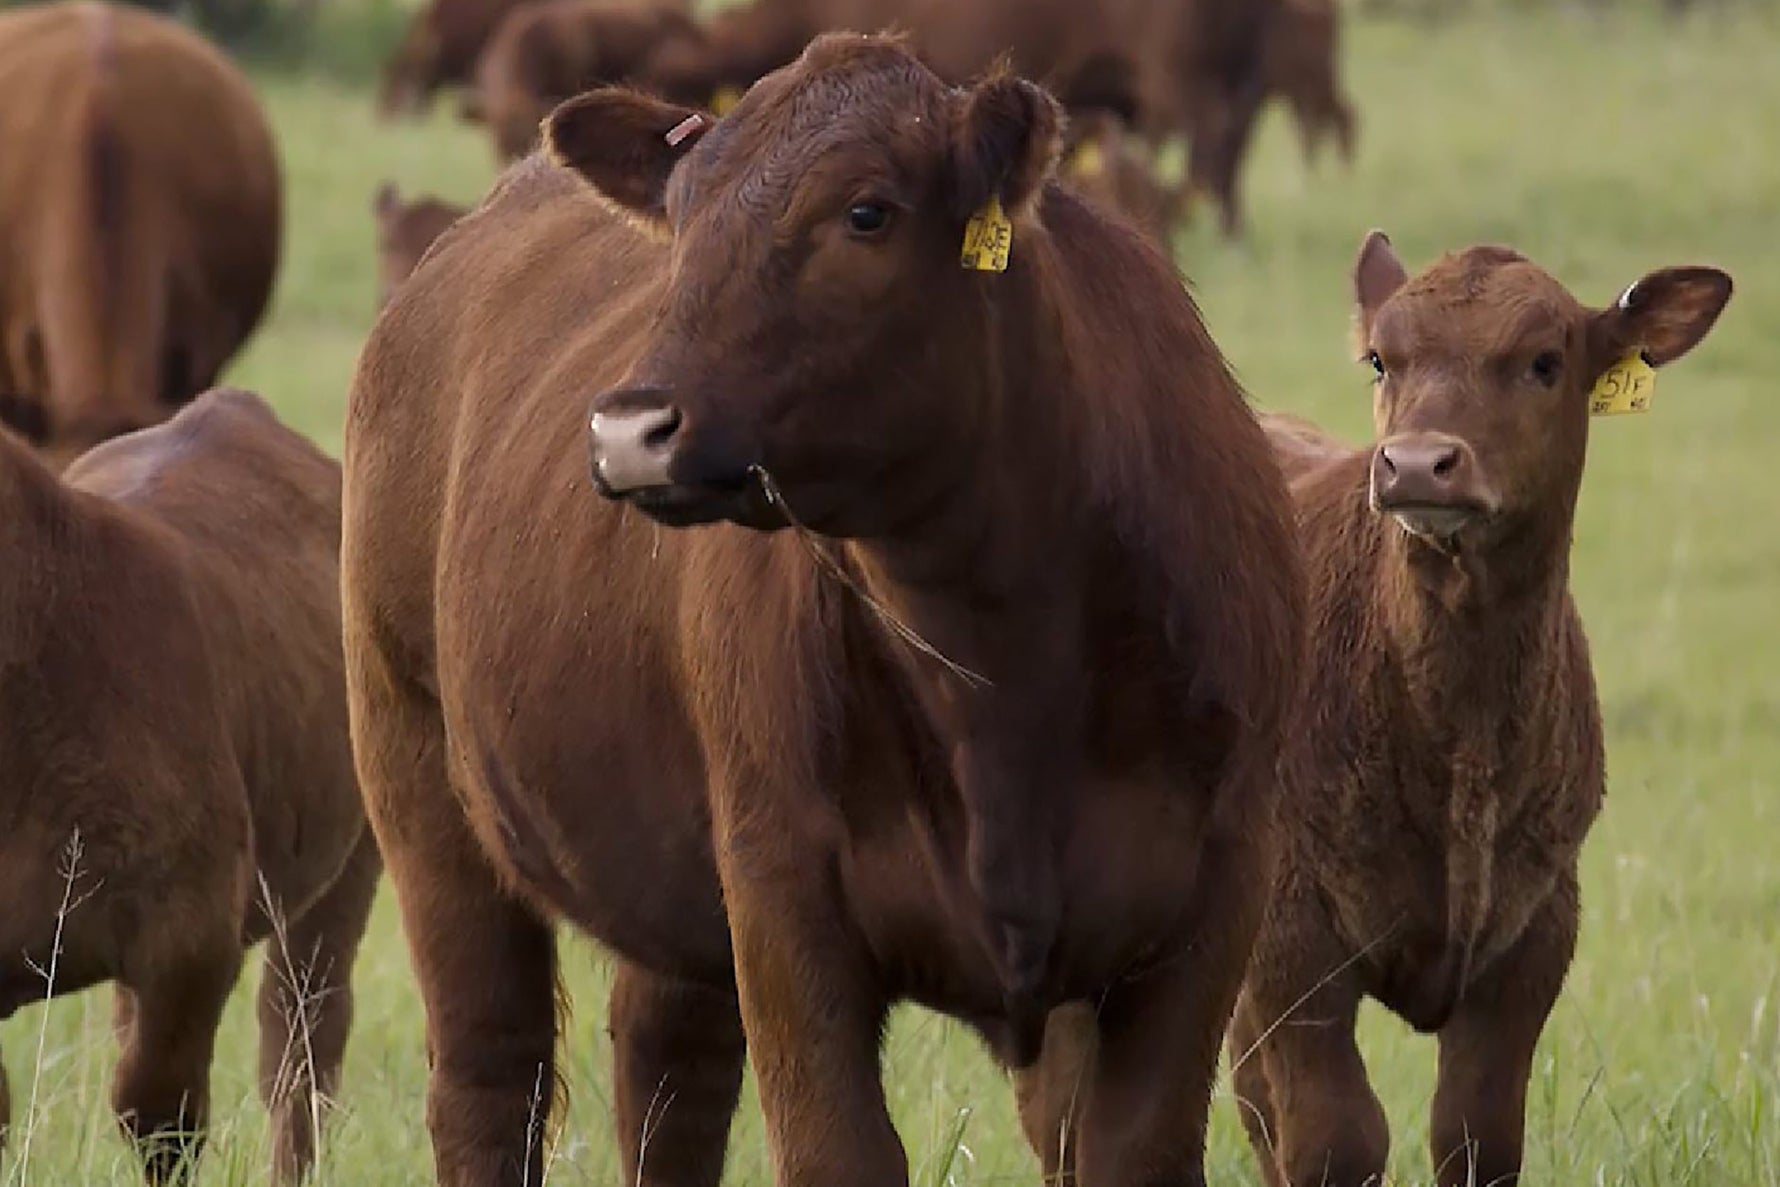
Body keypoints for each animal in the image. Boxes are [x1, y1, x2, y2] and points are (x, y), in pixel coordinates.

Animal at [342, 32, 1305, 1187]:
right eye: (684, 215)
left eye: (866, 212)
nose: (630, 429)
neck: (1005, 671)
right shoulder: (782, 892)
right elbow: (837, 1145)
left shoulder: (1213, 903)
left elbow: (1126, 1147)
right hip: (422, 788)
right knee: (494, 1074)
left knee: (666, 1072)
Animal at [1223, 232, 1732, 1186]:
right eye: (1382, 359)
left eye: (1543, 361)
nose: (1417, 462)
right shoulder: (1291, 931)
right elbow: (1337, 1137)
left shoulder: (1537, 930)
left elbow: (1475, 1133)